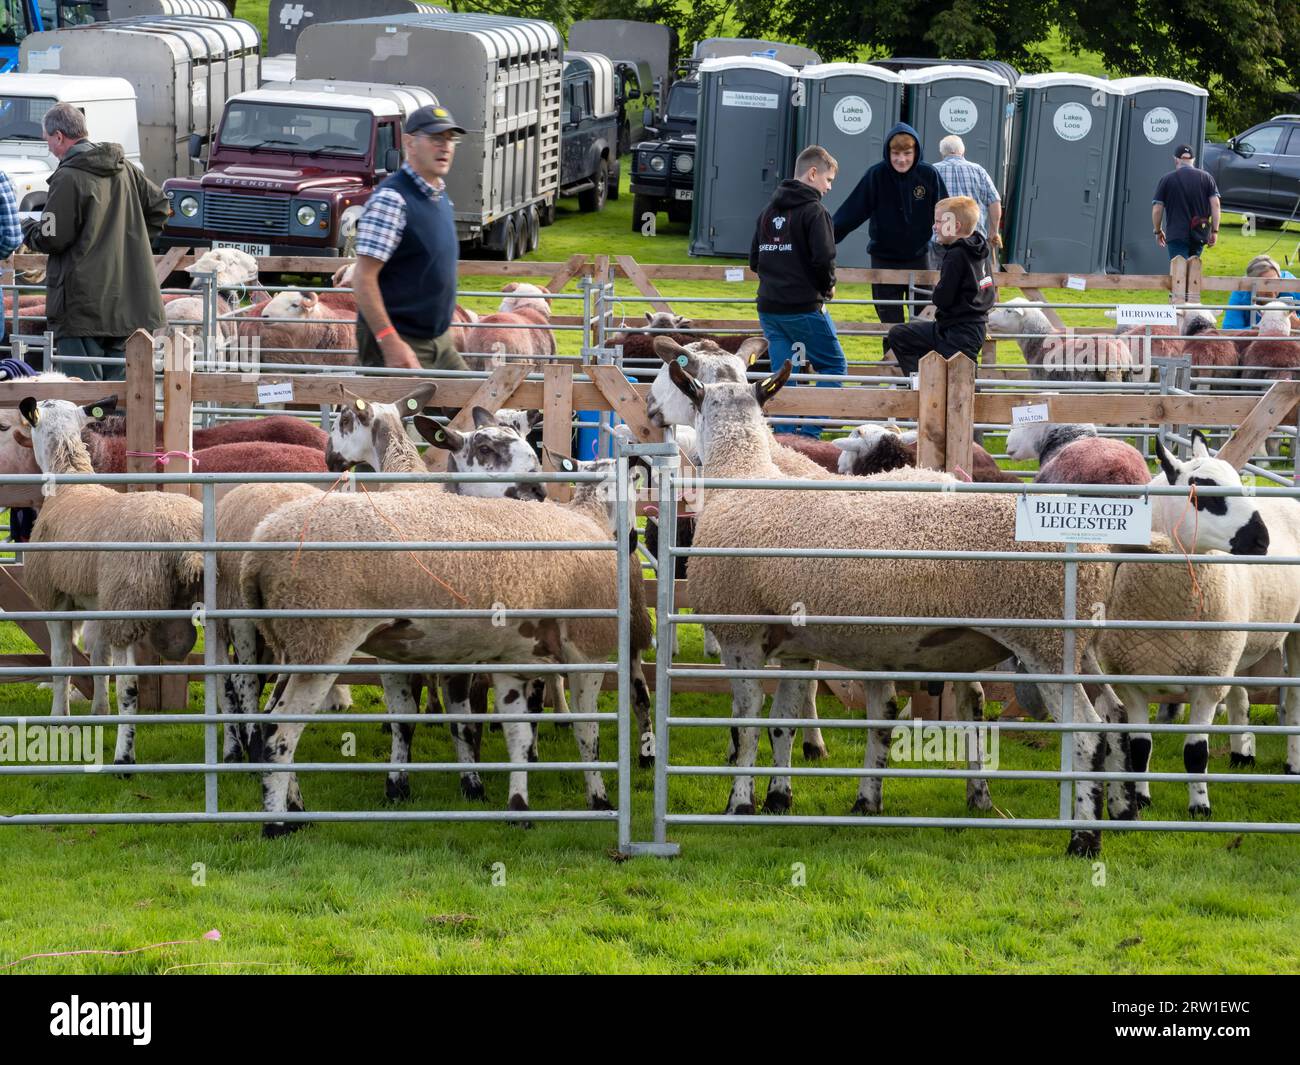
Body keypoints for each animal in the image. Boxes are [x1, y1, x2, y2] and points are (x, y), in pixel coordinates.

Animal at [17, 396, 204, 766]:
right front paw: (98, 712)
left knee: (129, 687)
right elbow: (98, 660)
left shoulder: (56, 599)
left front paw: (59, 719)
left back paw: (123, 758)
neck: (71, 478)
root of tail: (183, 539)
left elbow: (61, 660)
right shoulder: (97, 602)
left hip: (129, 601)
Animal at [240, 454, 649, 835]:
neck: (593, 520)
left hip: (295, 644)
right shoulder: (587, 650)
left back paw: (297, 811)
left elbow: (518, 736)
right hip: (323, 639)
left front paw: (519, 810)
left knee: (268, 721)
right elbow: (588, 732)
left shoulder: (513, 659)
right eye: (636, 479)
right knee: (279, 733)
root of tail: (256, 554)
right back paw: (275, 825)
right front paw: (600, 800)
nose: (634, 540)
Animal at [662, 349, 1271, 855]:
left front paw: (739, 803)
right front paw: (779, 799)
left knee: (1087, 733)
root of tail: (1102, 545)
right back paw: (1121, 813)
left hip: (1043, 642)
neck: (743, 471)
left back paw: (1083, 839)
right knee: (1119, 719)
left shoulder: (739, 635)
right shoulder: (794, 644)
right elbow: (783, 724)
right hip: (1078, 643)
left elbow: (745, 724)